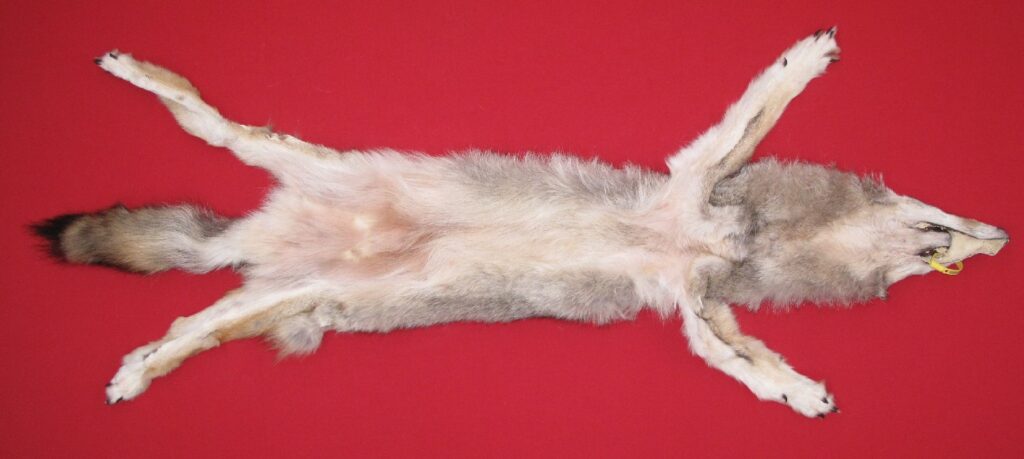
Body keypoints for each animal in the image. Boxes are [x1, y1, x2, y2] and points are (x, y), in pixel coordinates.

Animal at [33, 28, 1008, 417]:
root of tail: (247, 240)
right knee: (199, 118)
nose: (1000, 237)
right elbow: (757, 108)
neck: (737, 238)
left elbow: (742, 359)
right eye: (946, 228)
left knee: (183, 328)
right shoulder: (698, 182)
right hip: (268, 161)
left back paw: (135, 369)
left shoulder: (700, 306)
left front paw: (797, 387)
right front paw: (801, 60)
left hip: (267, 303)